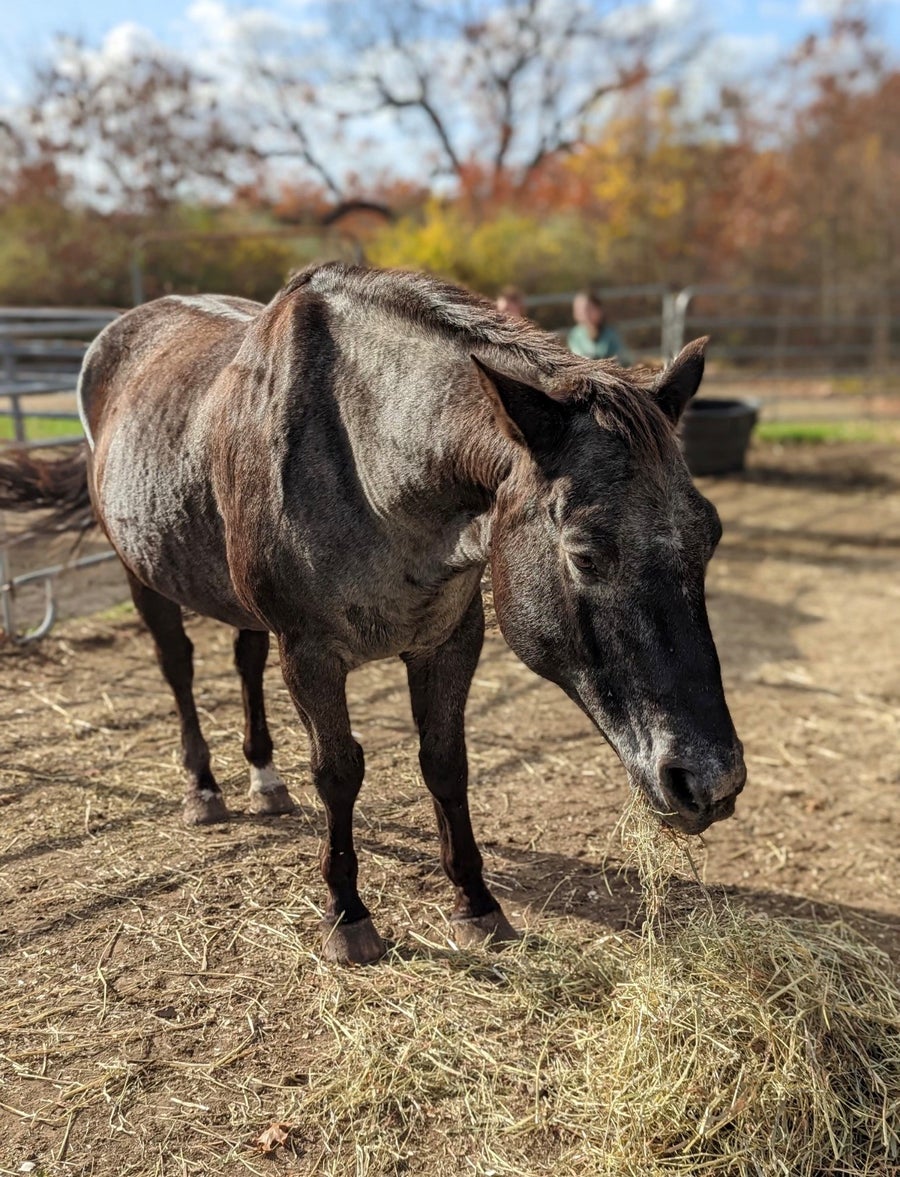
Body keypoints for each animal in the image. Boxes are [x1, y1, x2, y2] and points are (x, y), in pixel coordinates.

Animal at [0, 263, 745, 964]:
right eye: (585, 554)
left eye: (709, 534)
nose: (710, 782)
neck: (369, 462)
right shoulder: (311, 654)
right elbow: (339, 772)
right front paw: (347, 916)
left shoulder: (450, 639)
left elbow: (445, 760)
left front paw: (477, 904)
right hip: (142, 573)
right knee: (177, 668)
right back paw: (204, 788)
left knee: (244, 659)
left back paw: (263, 780)